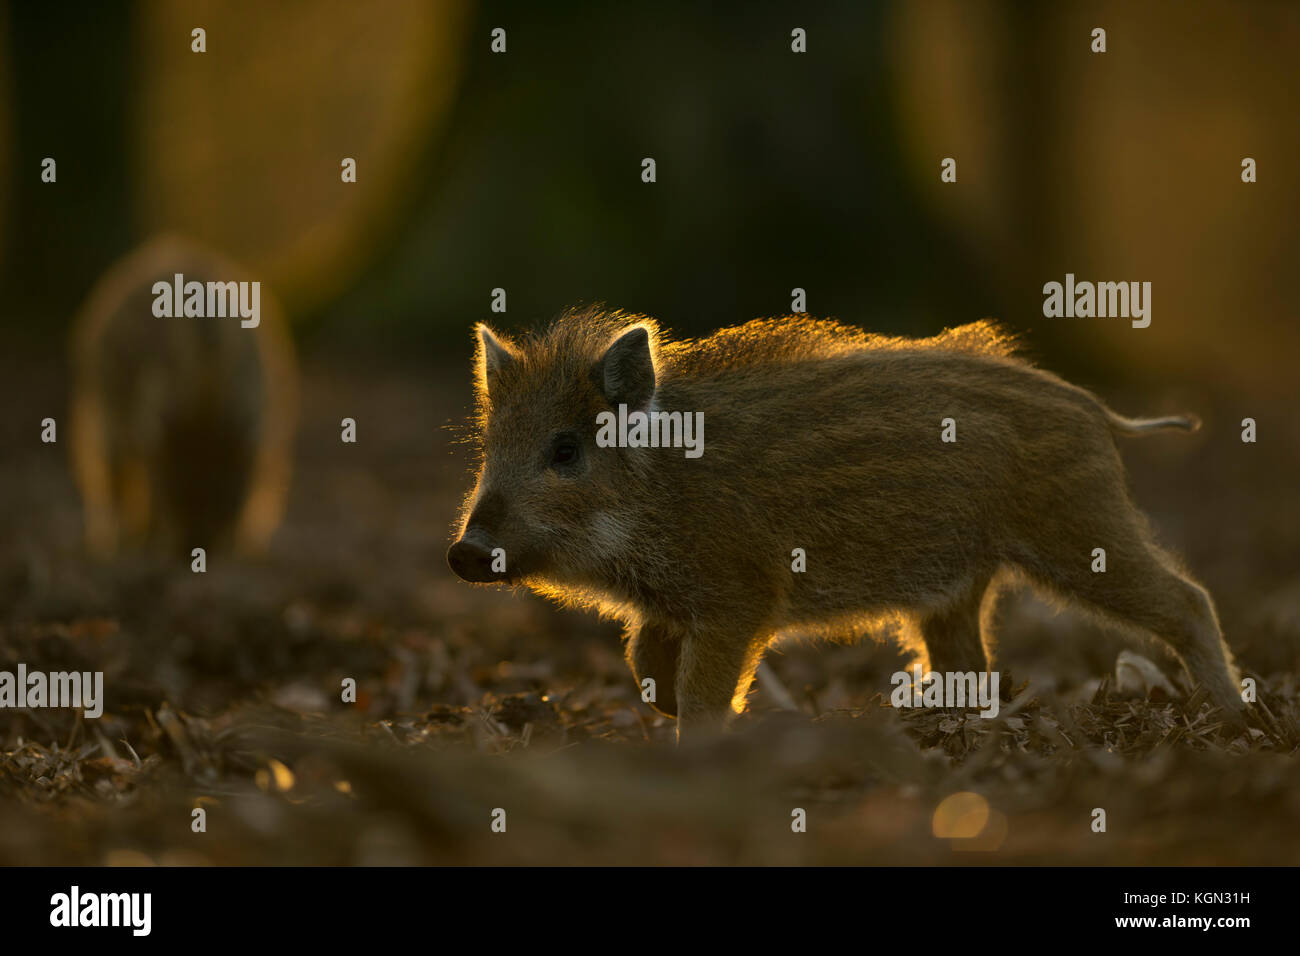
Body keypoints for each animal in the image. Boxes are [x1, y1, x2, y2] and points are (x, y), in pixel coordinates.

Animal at [69, 235, 298, 558]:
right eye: (176, 488)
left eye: (228, 491)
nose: (197, 545)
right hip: (102, 407)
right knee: (110, 468)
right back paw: (116, 539)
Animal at [448, 306, 1244, 738]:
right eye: (492, 447)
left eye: (565, 449)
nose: (464, 552)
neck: (661, 493)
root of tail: (1093, 408)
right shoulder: (668, 607)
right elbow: (642, 659)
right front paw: (666, 709)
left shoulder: (741, 596)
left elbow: (705, 689)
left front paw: (696, 737)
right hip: (958, 588)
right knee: (972, 665)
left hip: (1078, 526)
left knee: (1188, 598)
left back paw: (1235, 711)